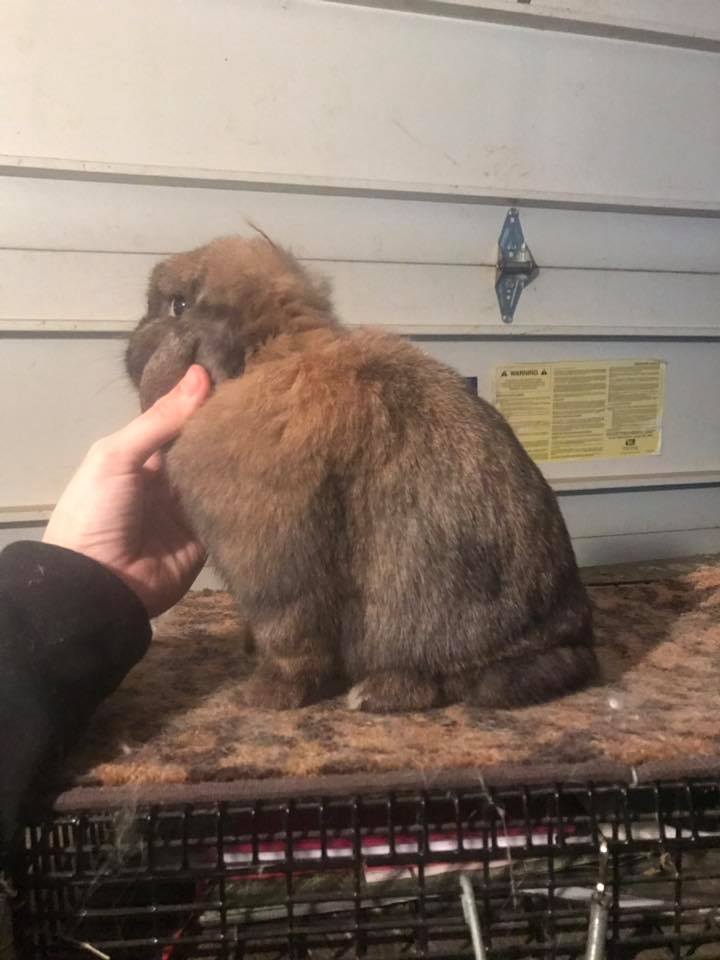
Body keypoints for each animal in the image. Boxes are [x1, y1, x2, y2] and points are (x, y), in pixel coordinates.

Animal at [126, 234, 597, 713]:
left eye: (178, 305)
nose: (133, 339)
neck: (269, 355)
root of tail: (570, 644)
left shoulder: (276, 577)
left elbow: (290, 643)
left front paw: (263, 696)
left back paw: (372, 693)